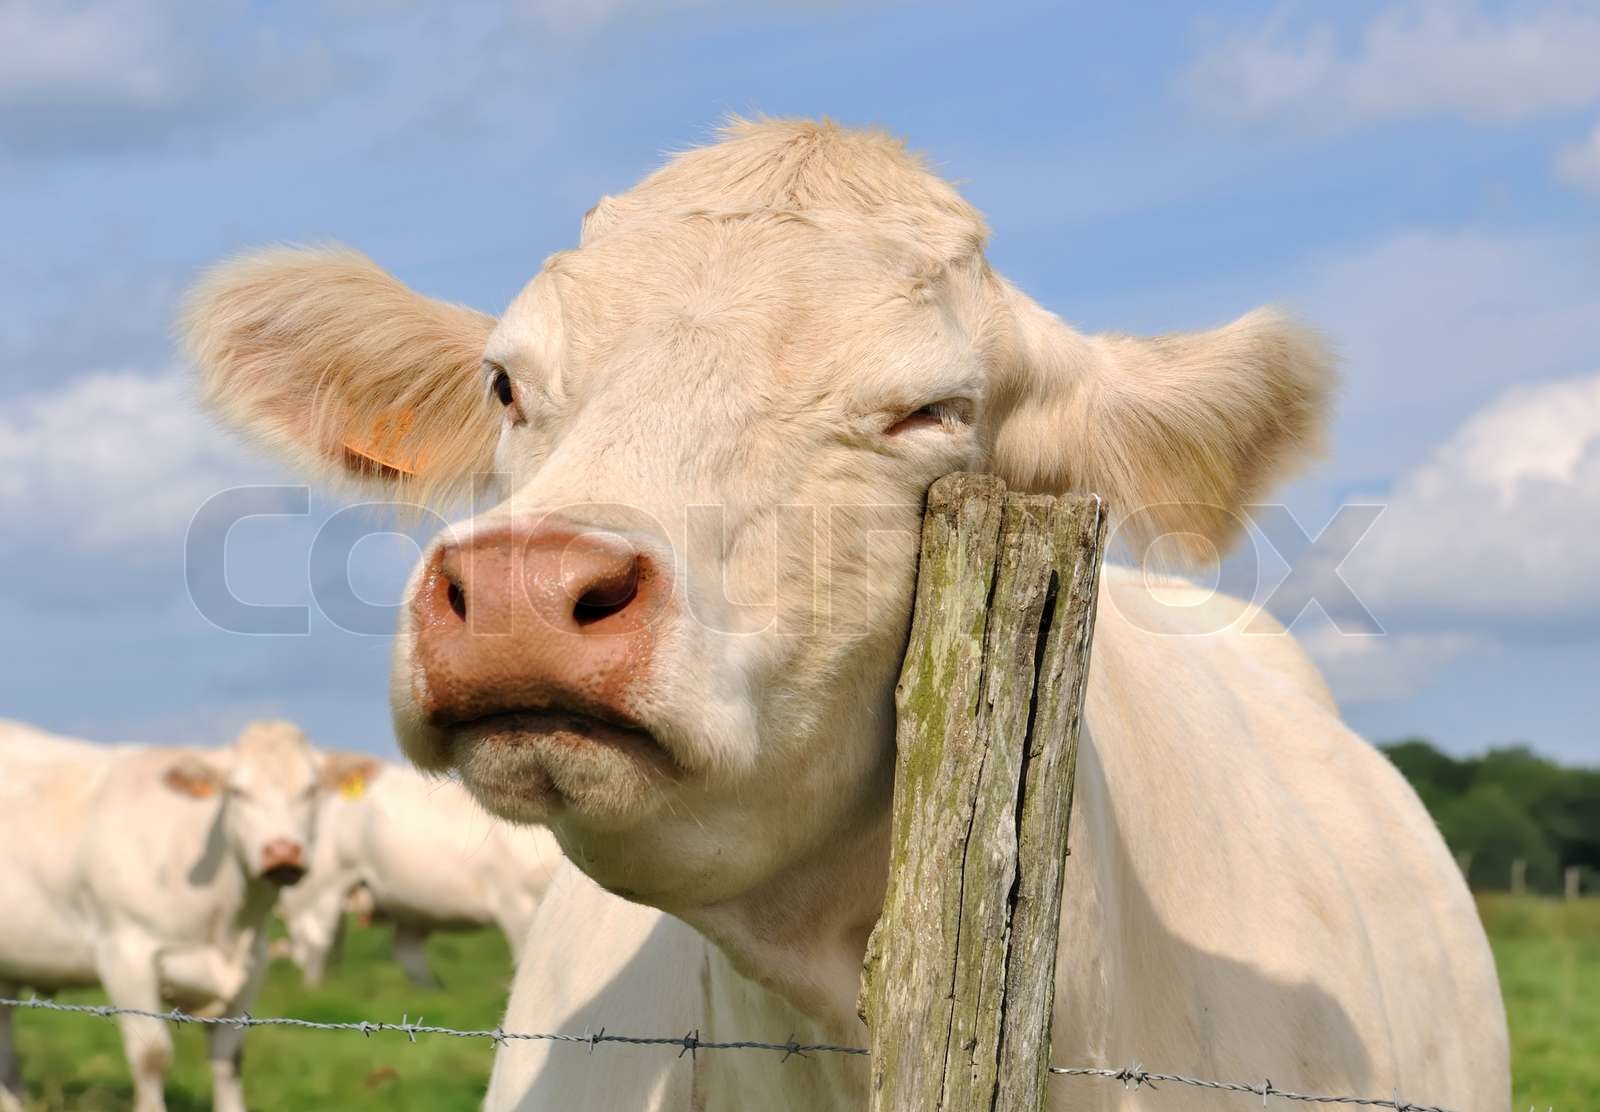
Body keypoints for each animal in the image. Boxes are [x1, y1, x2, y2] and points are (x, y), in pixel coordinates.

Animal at [0, 719, 364, 1112]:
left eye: (312, 789)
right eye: (236, 791)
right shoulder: (125, 952)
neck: (225, 926)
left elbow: (229, 1059)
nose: (282, 852)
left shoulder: (254, 962)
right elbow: (151, 1055)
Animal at [276, 757, 562, 986]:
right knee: (319, 938)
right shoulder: (513, 901)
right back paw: (316, 989)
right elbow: (526, 958)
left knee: (405, 950)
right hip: (329, 881)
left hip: (409, 903)